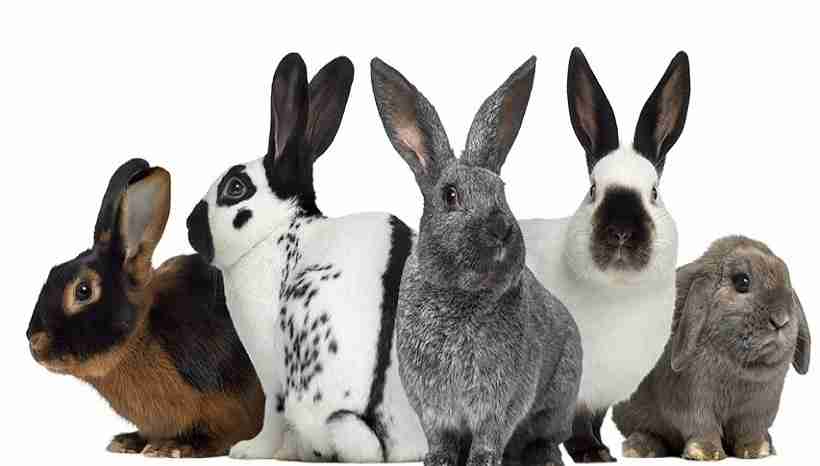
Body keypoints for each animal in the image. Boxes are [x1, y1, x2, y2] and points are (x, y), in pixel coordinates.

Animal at [26, 158, 265, 458]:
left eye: (83, 290)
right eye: (53, 271)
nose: (34, 342)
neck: (142, 331)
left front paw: (175, 447)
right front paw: (128, 442)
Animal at [185, 53, 426, 462]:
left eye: (236, 187)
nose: (189, 226)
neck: (278, 230)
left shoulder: (270, 372)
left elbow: (271, 415)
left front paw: (248, 450)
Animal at [371, 56, 583, 466]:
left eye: (502, 192)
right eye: (450, 195)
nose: (500, 228)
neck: (461, 295)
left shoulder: (503, 400)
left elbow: (490, 434)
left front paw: (482, 460)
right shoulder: (430, 404)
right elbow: (440, 437)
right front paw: (437, 460)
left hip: (559, 400)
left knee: (549, 435)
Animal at [518, 47, 689, 462]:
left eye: (654, 193)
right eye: (593, 190)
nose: (622, 231)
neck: (618, 290)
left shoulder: (602, 395)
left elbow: (594, 421)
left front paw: (604, 451)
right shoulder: (578, 389)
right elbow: (576, 426)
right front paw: (592, 454)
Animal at [612, 236, 811, 460]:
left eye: (788, 283)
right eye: (742, 281)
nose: (781, 320)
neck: (739, 368)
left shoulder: (758, 407)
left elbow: (749, 429)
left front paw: (757, 449)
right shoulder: (691, 399)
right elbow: (700, 424)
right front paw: (704, 452)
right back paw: (640, 448)